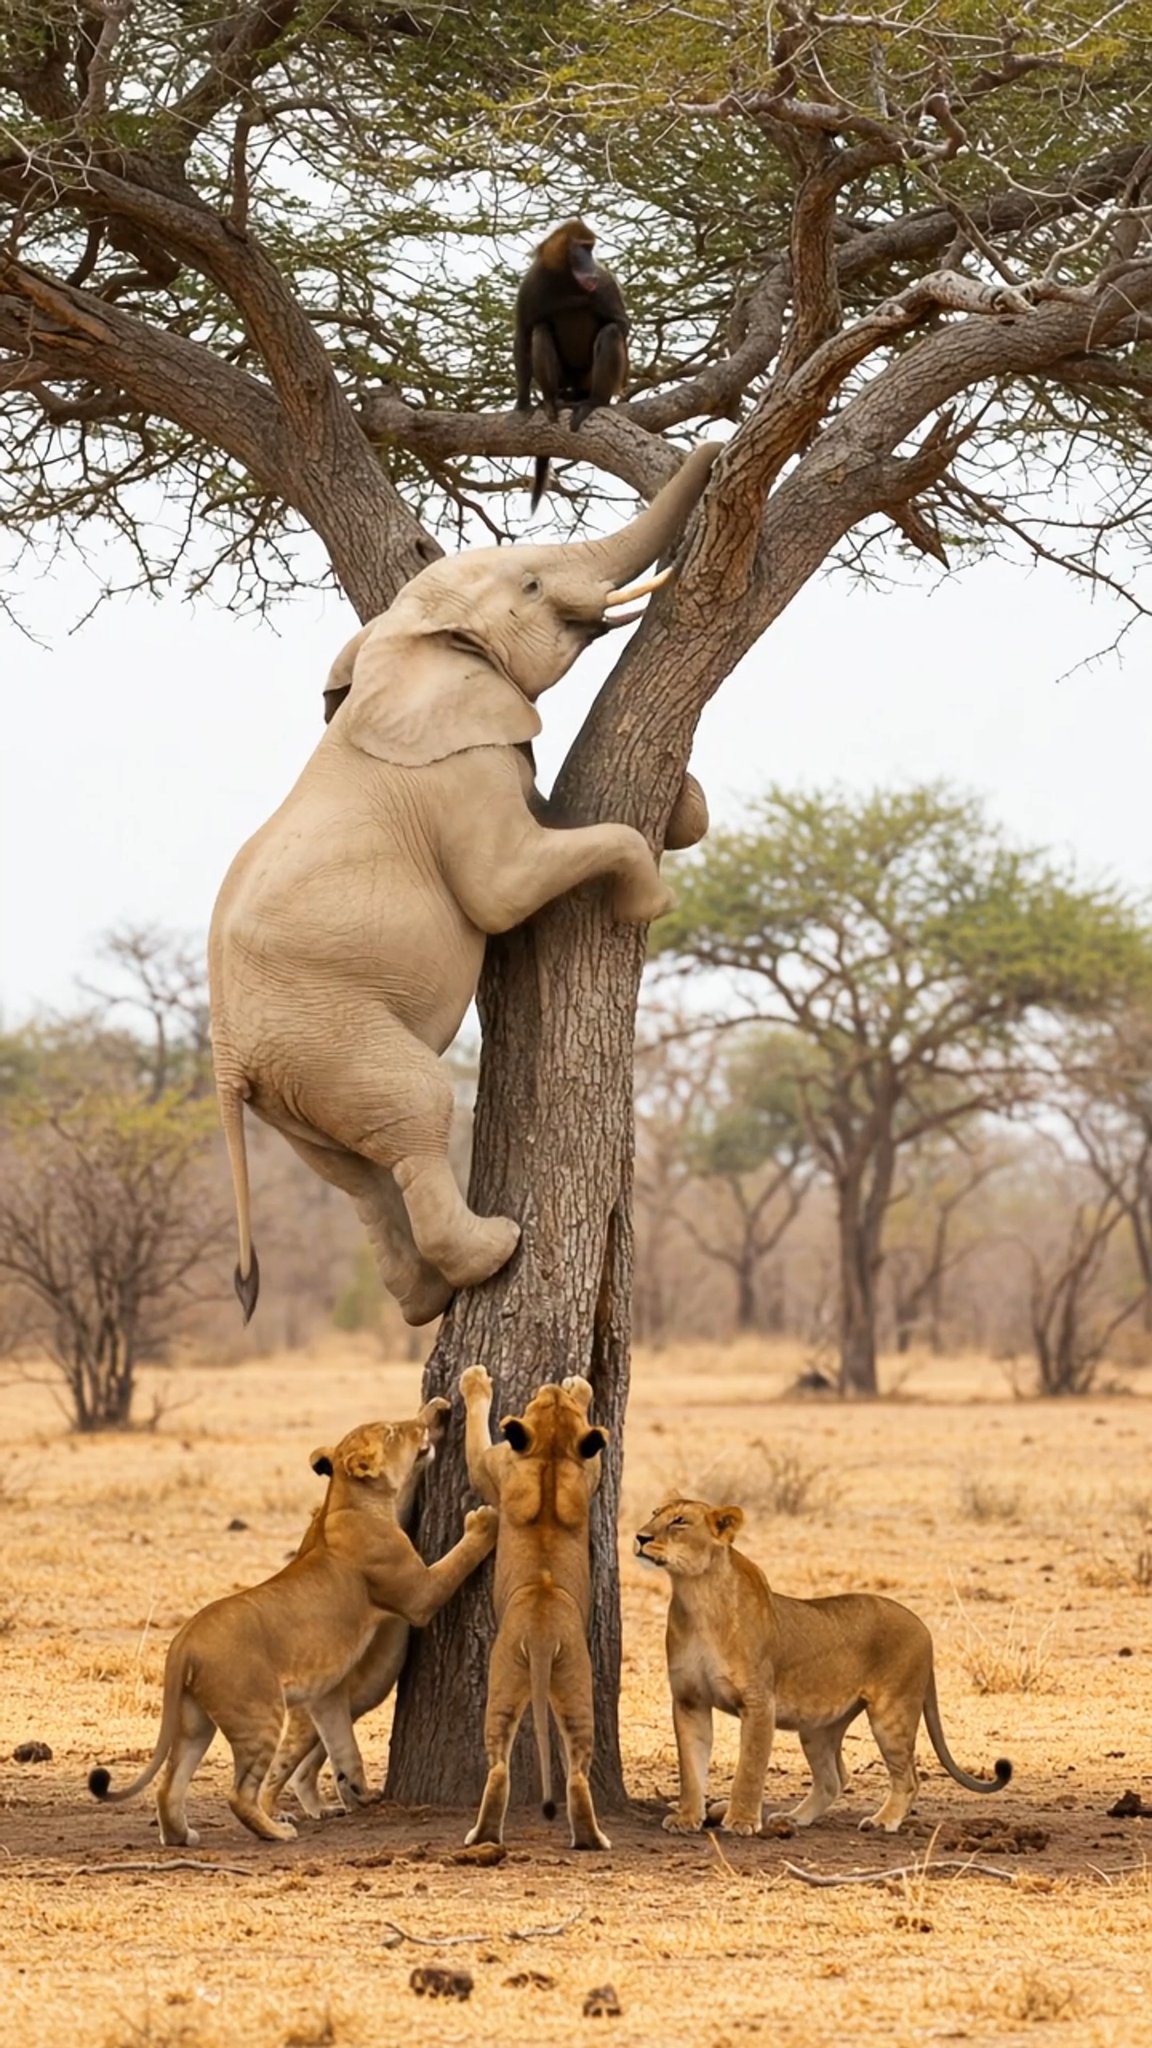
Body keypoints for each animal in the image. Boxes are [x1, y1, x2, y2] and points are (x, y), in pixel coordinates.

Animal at [209, 441, 720, 1328]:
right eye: (533, 586)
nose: (716, 448)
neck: (405, 644)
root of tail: (229, 1058)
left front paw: (683, 805)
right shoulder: (459, 770)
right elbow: (503, 891)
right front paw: (651, 902)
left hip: (293, 1075)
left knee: (350, 1171)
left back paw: (425, 1300)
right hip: (327, 1033)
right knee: (416, 1109)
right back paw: (496, 1250)